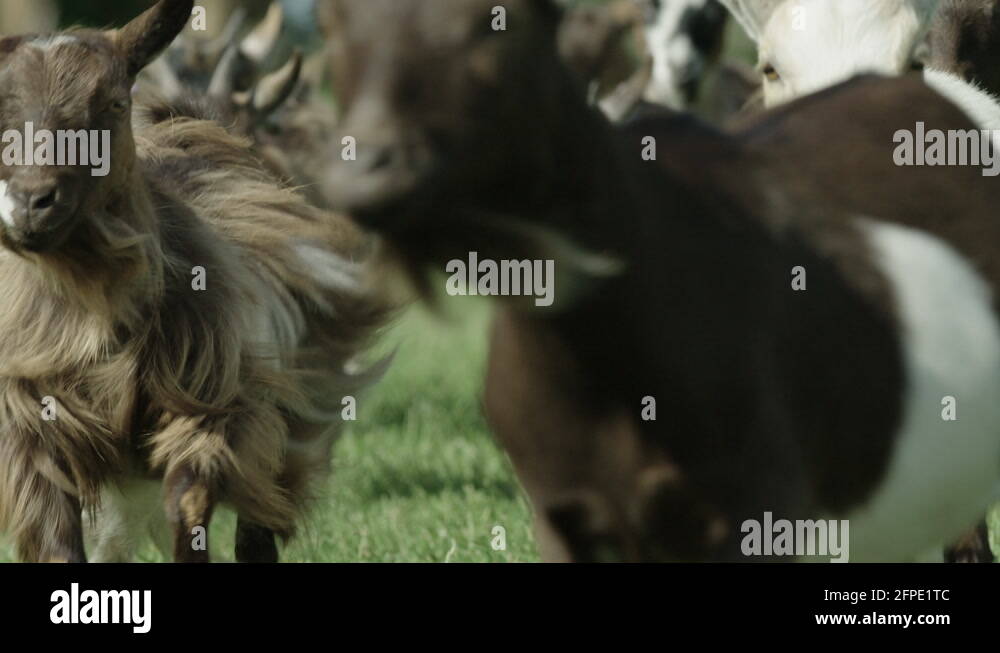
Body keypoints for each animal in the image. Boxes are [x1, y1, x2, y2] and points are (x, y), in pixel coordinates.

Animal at [0, 0, 389, 562]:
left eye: (113, 102)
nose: (31, 202)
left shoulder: (220, 402)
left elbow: (190, 499)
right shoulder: (31, 427)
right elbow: (57, 537)